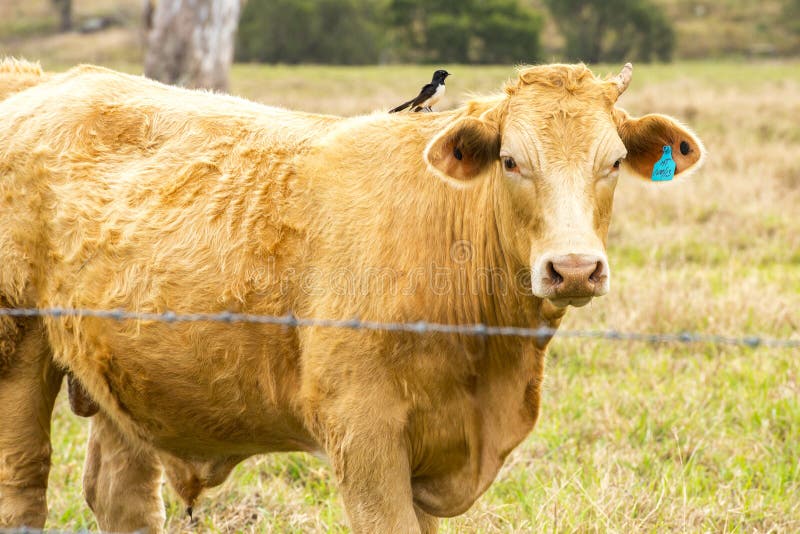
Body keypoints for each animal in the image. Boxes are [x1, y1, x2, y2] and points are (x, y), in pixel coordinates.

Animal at [0, 59, 705, 532]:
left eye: (612, 162)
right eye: (510, 161)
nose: (574, 268)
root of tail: (41, 80)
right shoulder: (364, 440)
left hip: (127, 378)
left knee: (122, 496)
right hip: (18, 351)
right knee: (23, 483)